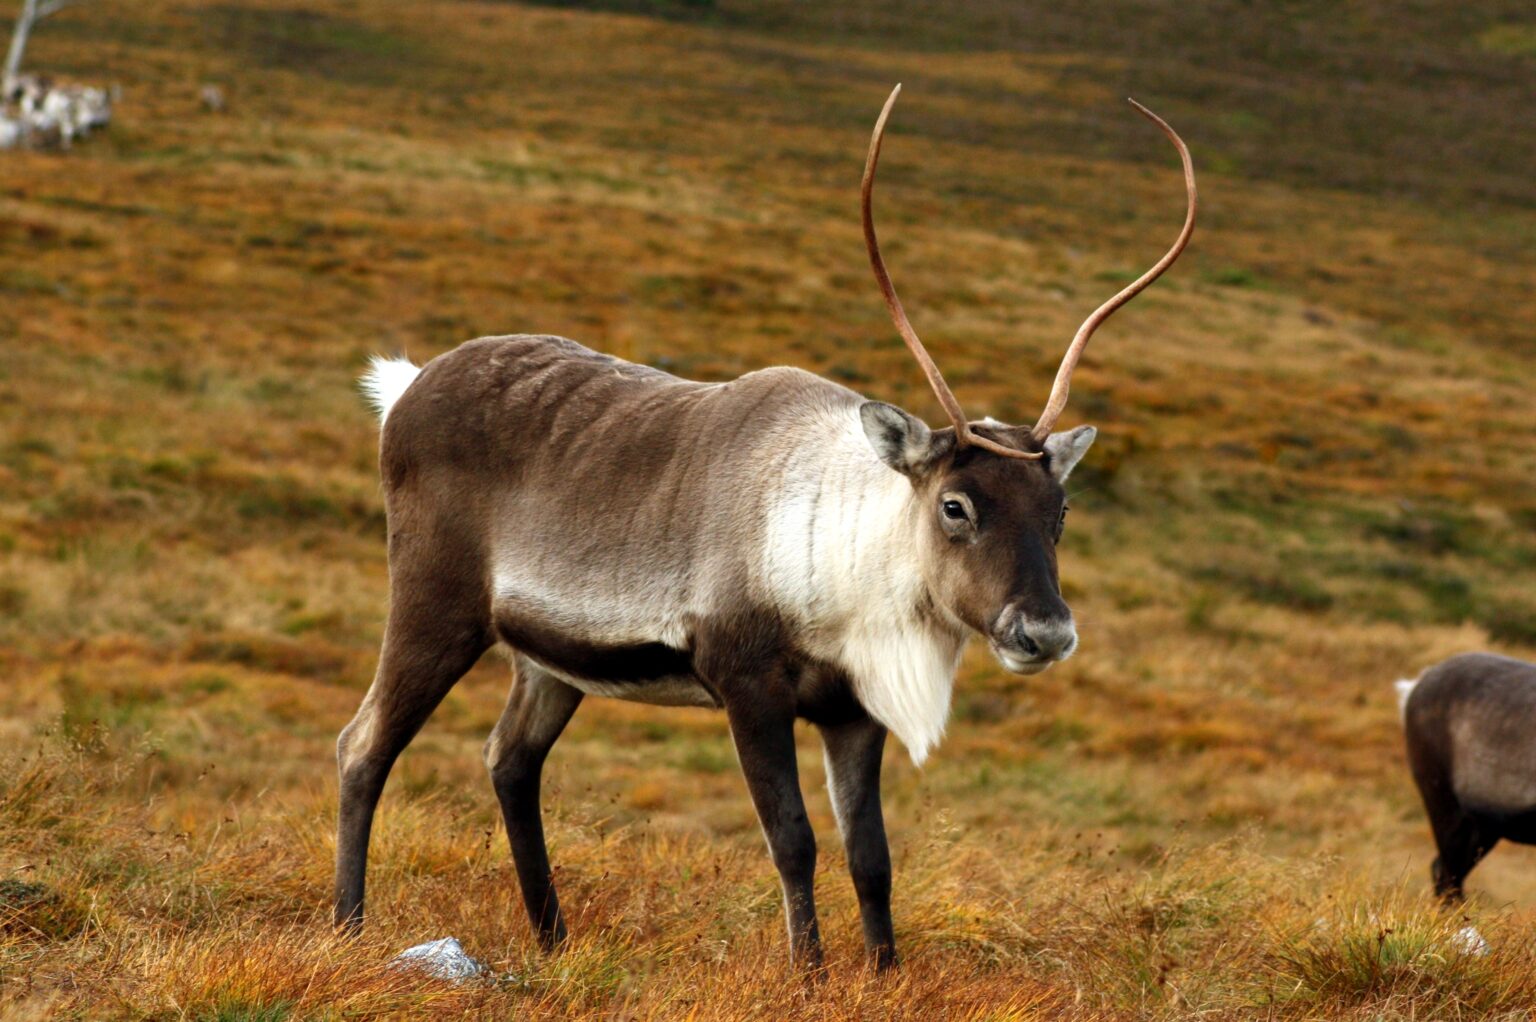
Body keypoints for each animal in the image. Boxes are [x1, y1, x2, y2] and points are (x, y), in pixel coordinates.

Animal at [334, 85, 1197, 969]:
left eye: (1060, 509)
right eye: (956, 505)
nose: (1045, 631)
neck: (849, 562)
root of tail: (404, 391)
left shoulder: (852, 709)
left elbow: (872, 856)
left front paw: (884, 974)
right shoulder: (747, 685)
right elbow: (793, 841)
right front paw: (809, 974)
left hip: (547, 656)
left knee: (510, 759)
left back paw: (553, 940)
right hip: (435, 603)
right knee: (363, 744)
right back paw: (349, 926)